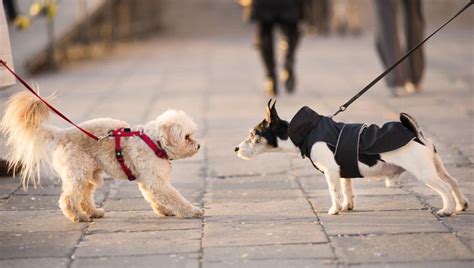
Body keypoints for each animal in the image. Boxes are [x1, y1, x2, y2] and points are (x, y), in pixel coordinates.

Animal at [0, 92, 204, 222]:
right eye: (187, 137)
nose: (199, 146)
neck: (156, 143)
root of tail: (62, 134)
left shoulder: (149, 181)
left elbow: (155, 197)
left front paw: (165, 210)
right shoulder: (155, 181)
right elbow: (174, 197)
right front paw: (192, 211)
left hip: (89, 175)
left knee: (83, 197)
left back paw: (93, 212)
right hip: (78, 173)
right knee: (69, 199)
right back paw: (78, 216)